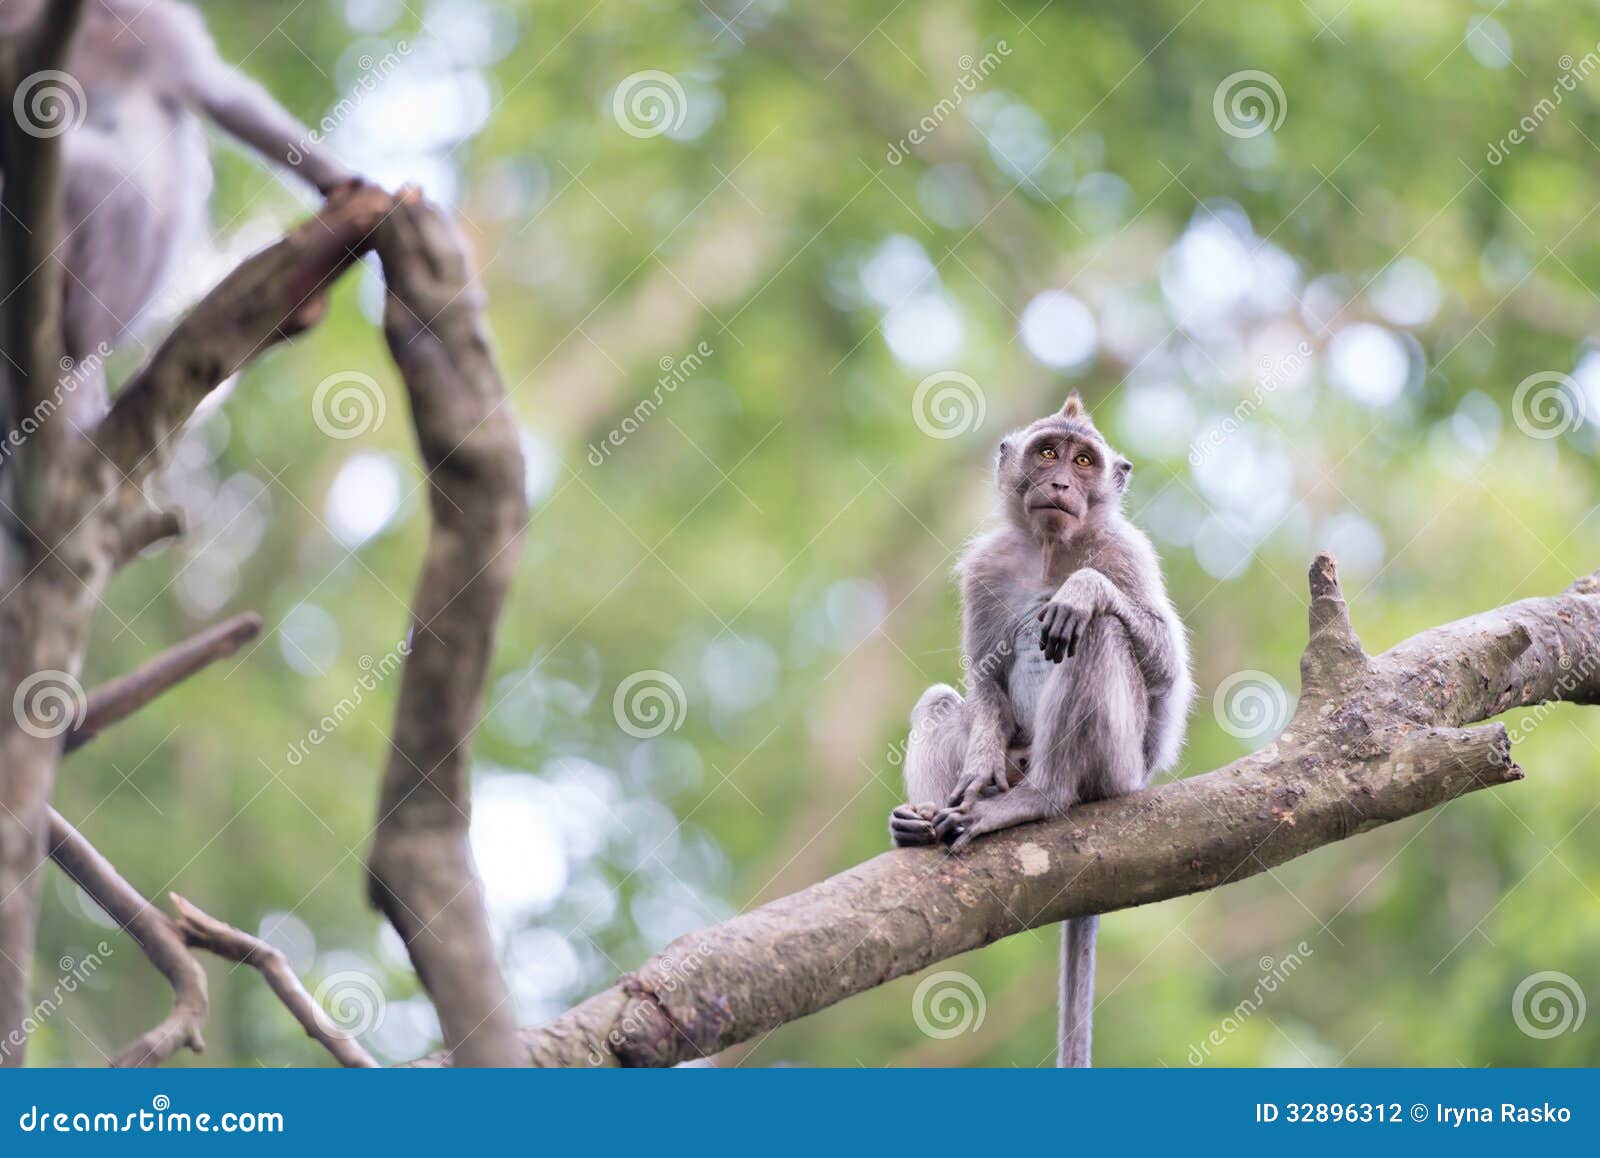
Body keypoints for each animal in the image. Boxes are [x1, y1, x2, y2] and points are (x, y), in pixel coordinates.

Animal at [889, 391, 1192, 1067]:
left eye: (1083, 462)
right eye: (1048, 453)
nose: (1060, 483)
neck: (1053, 549)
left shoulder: (1127, 551)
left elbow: (1166, 677)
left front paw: (1083, 588)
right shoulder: (984, 567)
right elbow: (982, 681)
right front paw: (977, 768)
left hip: (1116, 768)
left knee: (1099, 633)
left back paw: (1040, 796)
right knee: (941, 703)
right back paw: (926, 821)